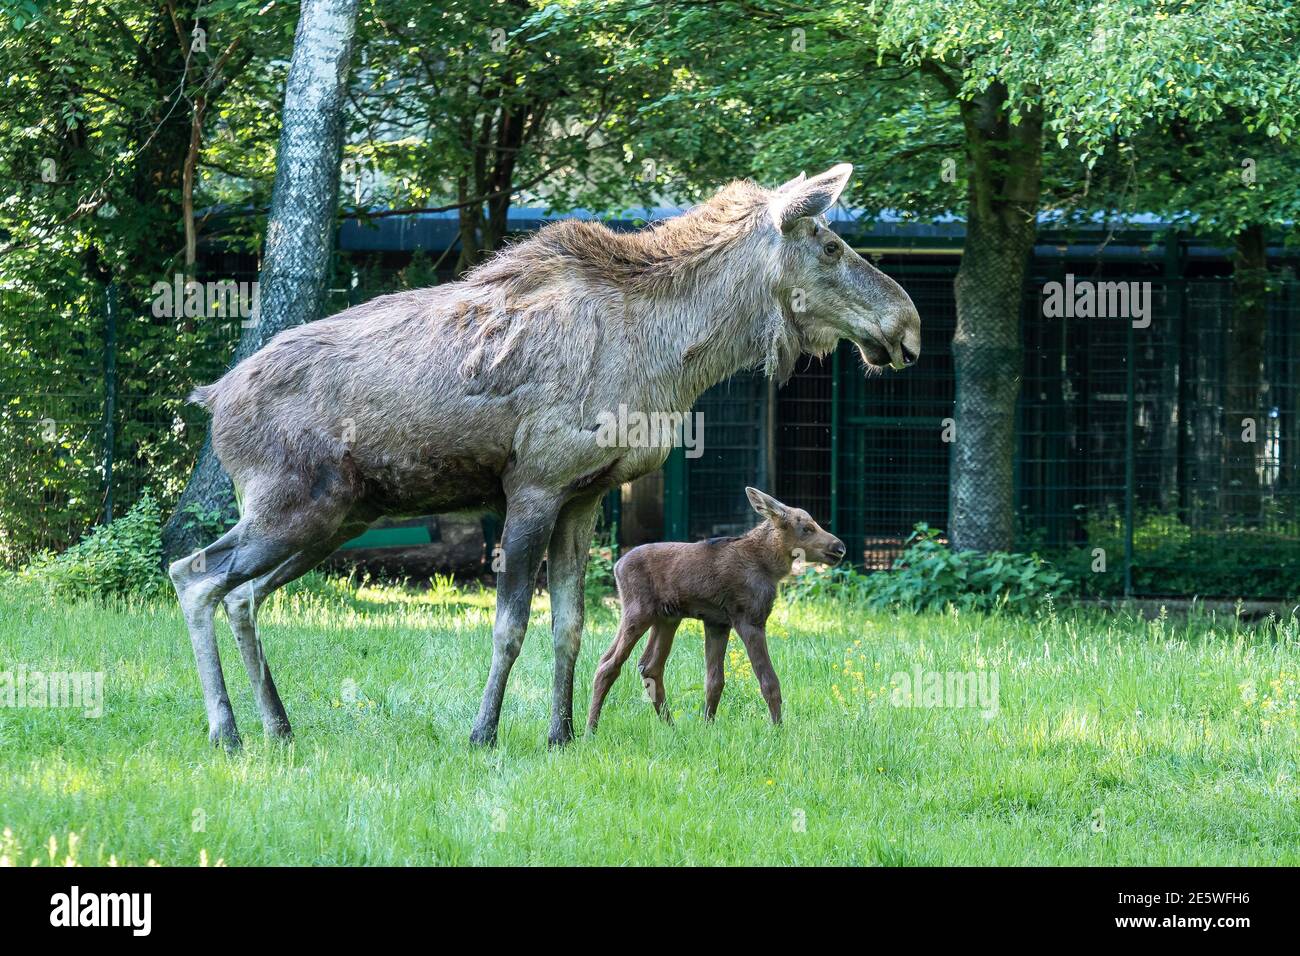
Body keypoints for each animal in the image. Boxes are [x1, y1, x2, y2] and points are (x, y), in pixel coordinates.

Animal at [587, 488, 844, 731]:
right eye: (807, 528)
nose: (839, 547)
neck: (770, 568)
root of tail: (616, 566)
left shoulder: (717, 623)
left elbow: (714, 681)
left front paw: (707, 726)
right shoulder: (749, 619)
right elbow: (769, 682)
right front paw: (779, 730)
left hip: (667, 618)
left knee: (649, 667)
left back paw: (671, 727)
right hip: (638, 613)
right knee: (608, 666)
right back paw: (591, 730)